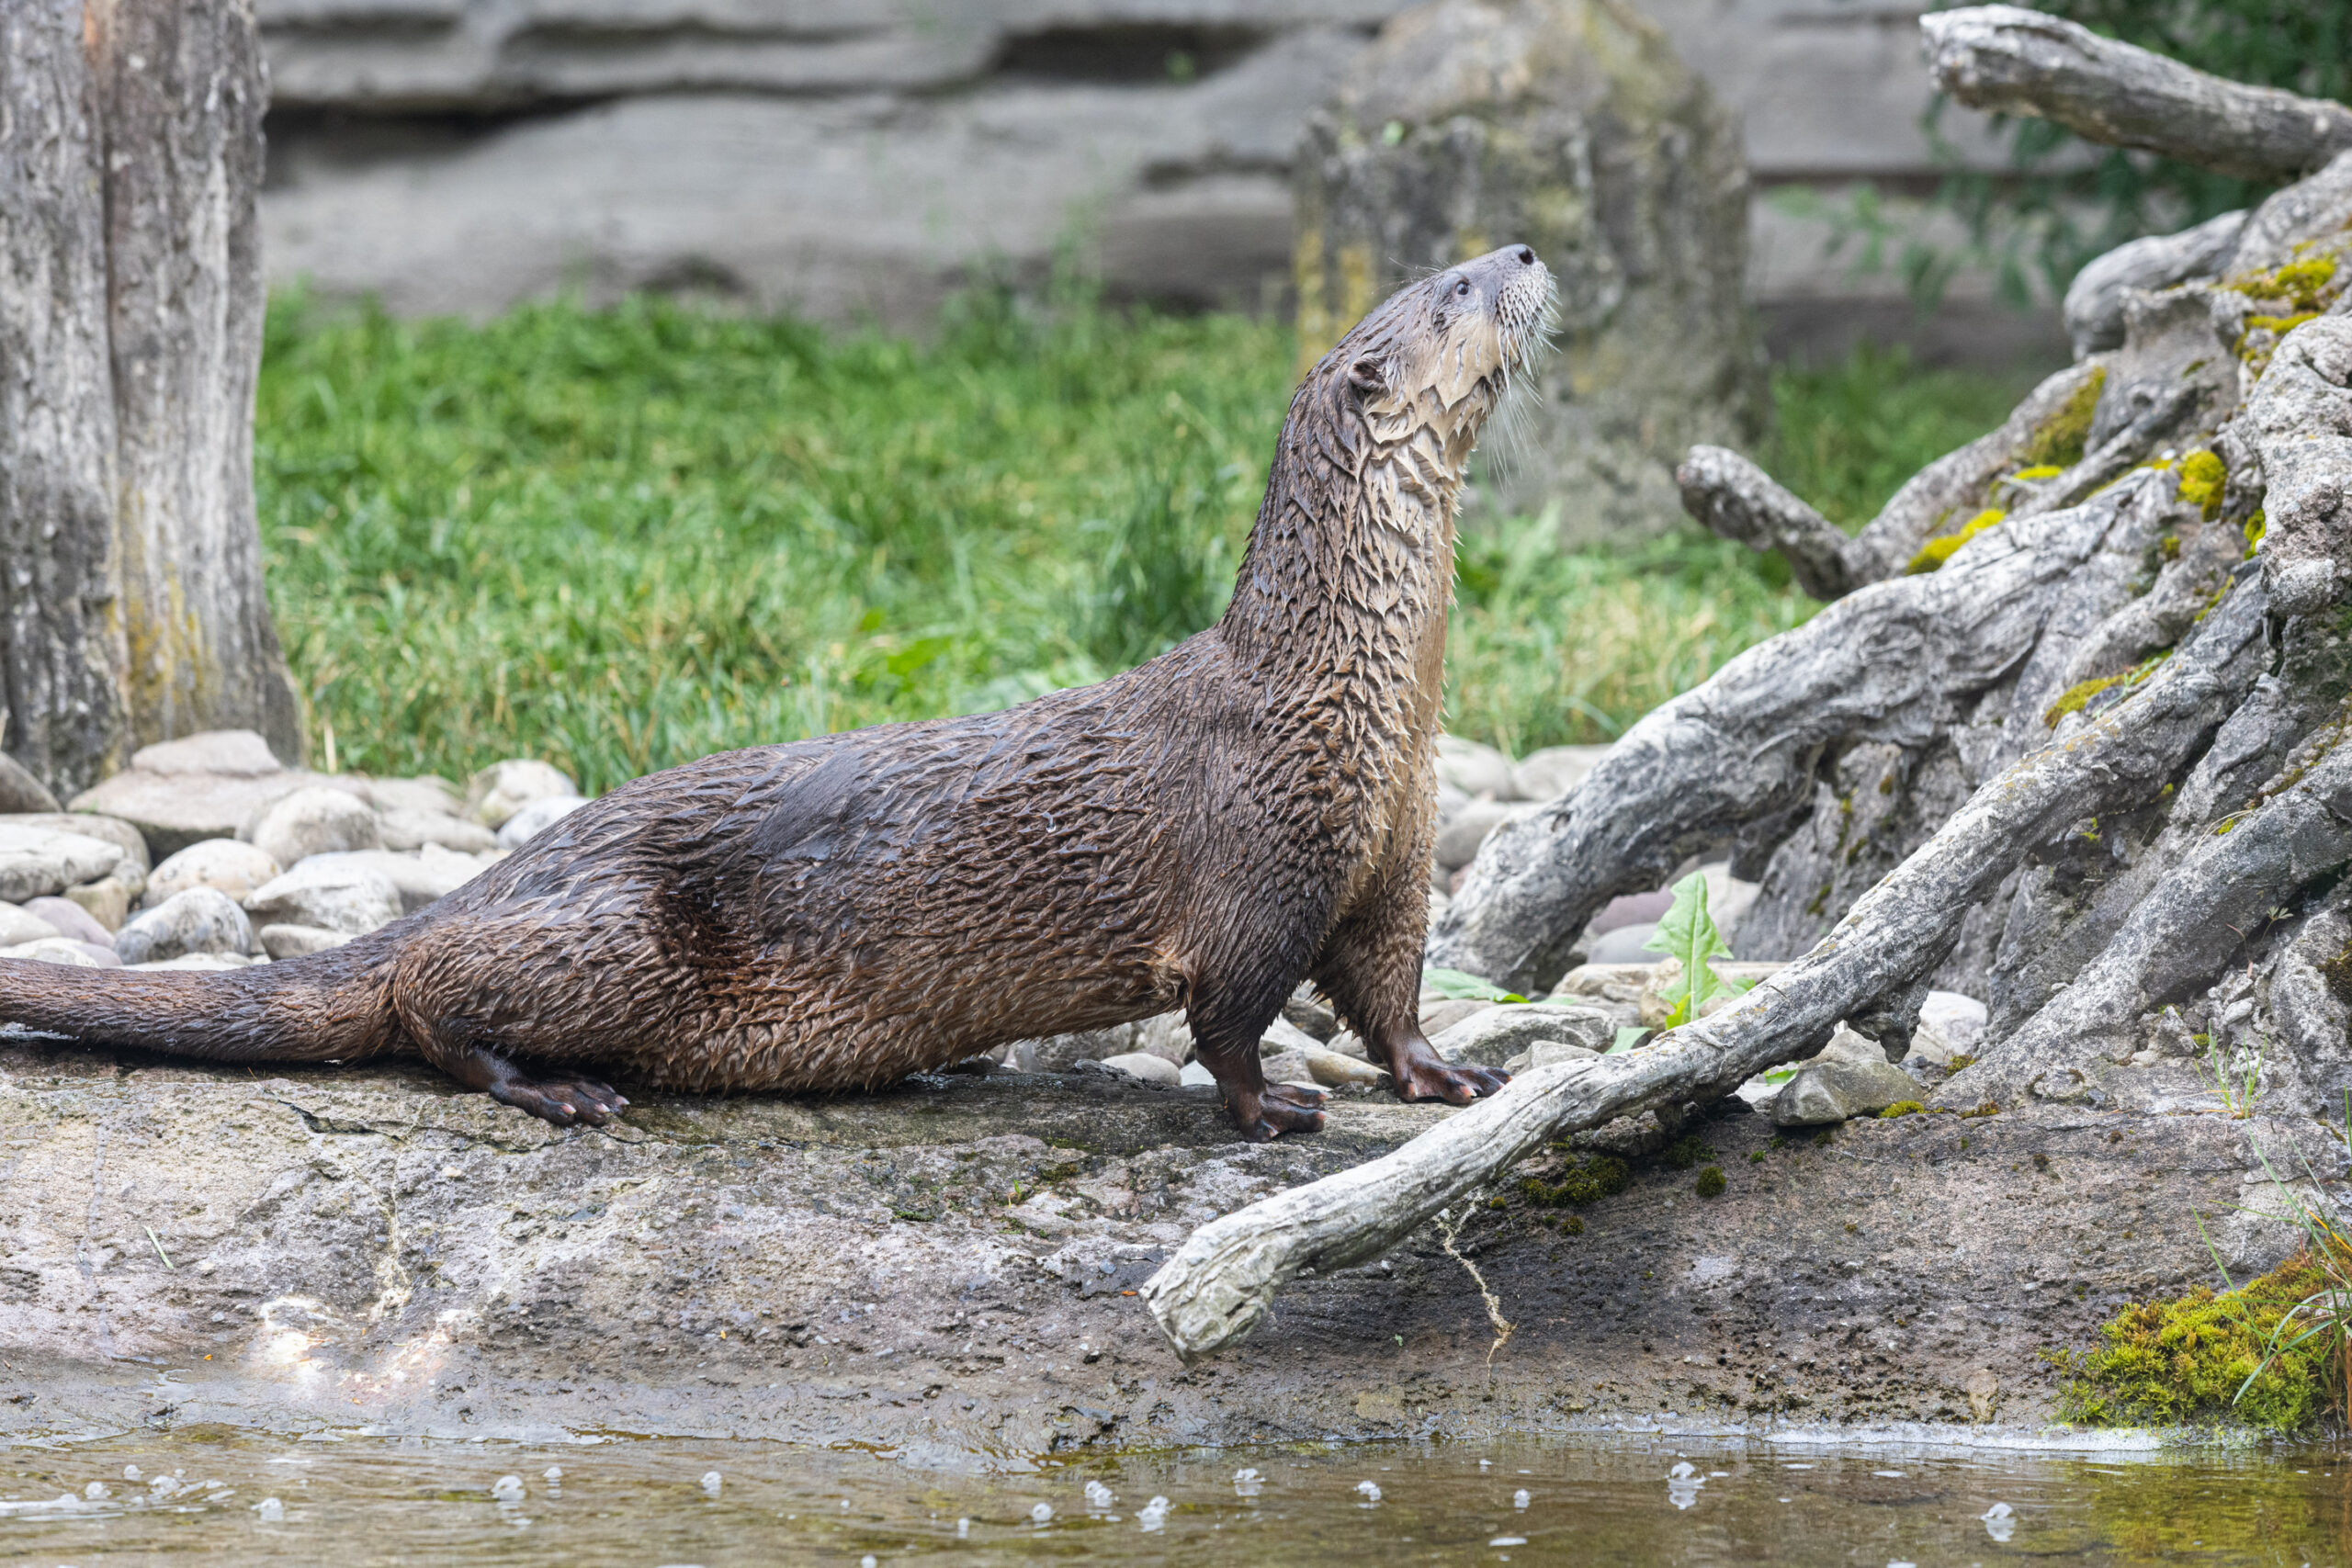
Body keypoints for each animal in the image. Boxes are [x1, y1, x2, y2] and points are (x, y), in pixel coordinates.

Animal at [0, 246, 1554, 1142]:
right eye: (1455, 291)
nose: (1528, 246)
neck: (1345, 689)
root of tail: (510, 868)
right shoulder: (1259, 862)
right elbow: (1230, 1015)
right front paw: (1276, 1104)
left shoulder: (1388, 851)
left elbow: (1391, 986)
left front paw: (1446, 1077)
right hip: (616, 940)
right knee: (428, 990)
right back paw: (553, 1085)